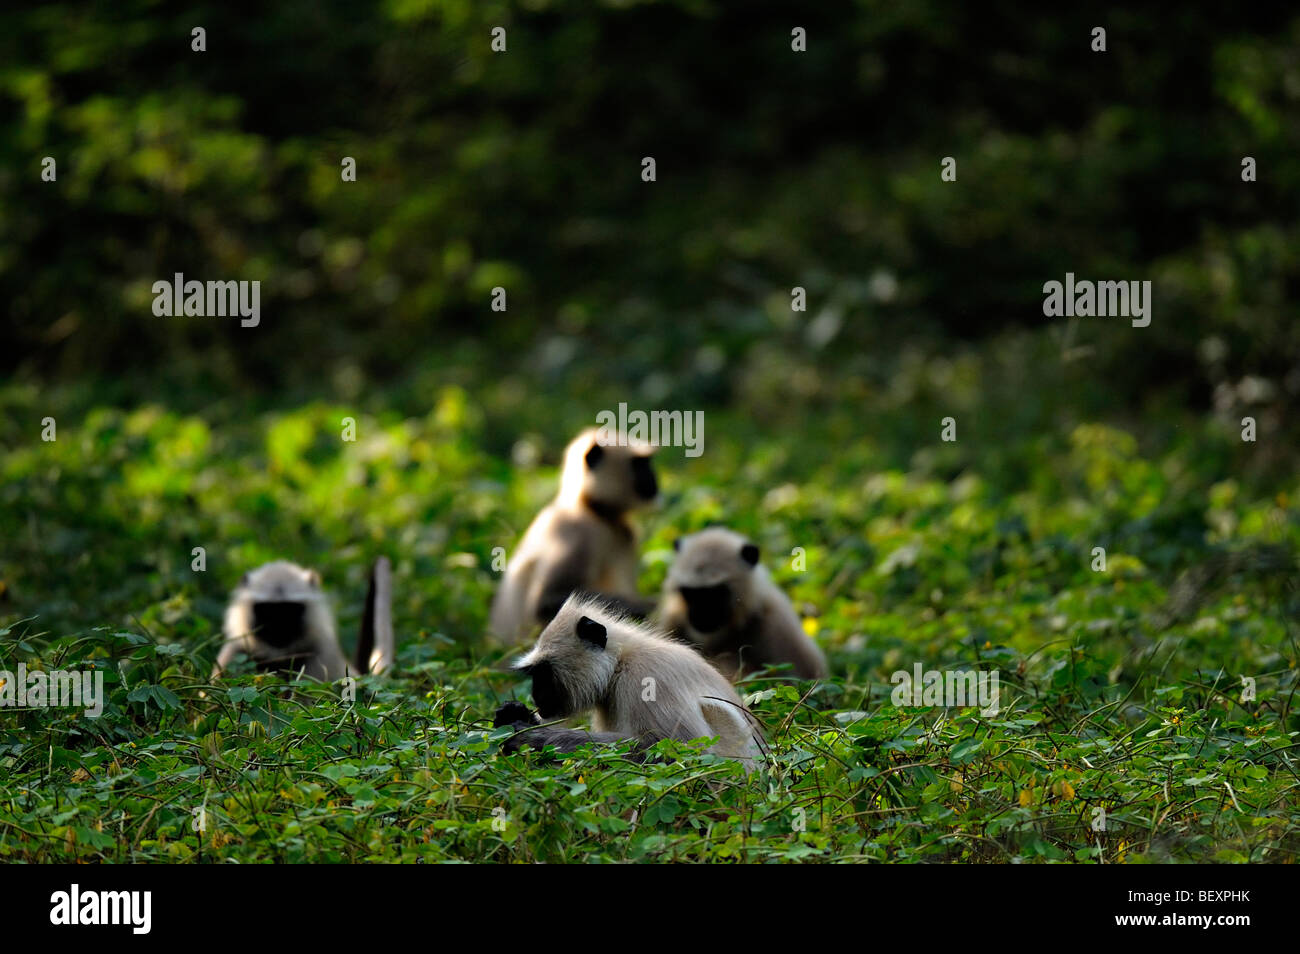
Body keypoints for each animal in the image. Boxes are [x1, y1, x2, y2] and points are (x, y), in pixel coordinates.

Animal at [489, 428, 658, 643]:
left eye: (647, 463)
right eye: (640, 464)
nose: (653, 479)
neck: (592, 509)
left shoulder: (626, 534)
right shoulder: (576, 530)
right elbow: (546, 602)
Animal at [493, 594, 765, 767]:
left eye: (543, 673)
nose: (535, 694)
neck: (620, 664)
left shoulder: (650, 676)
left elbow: (688, 754)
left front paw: (530, 736)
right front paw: (514, 713)